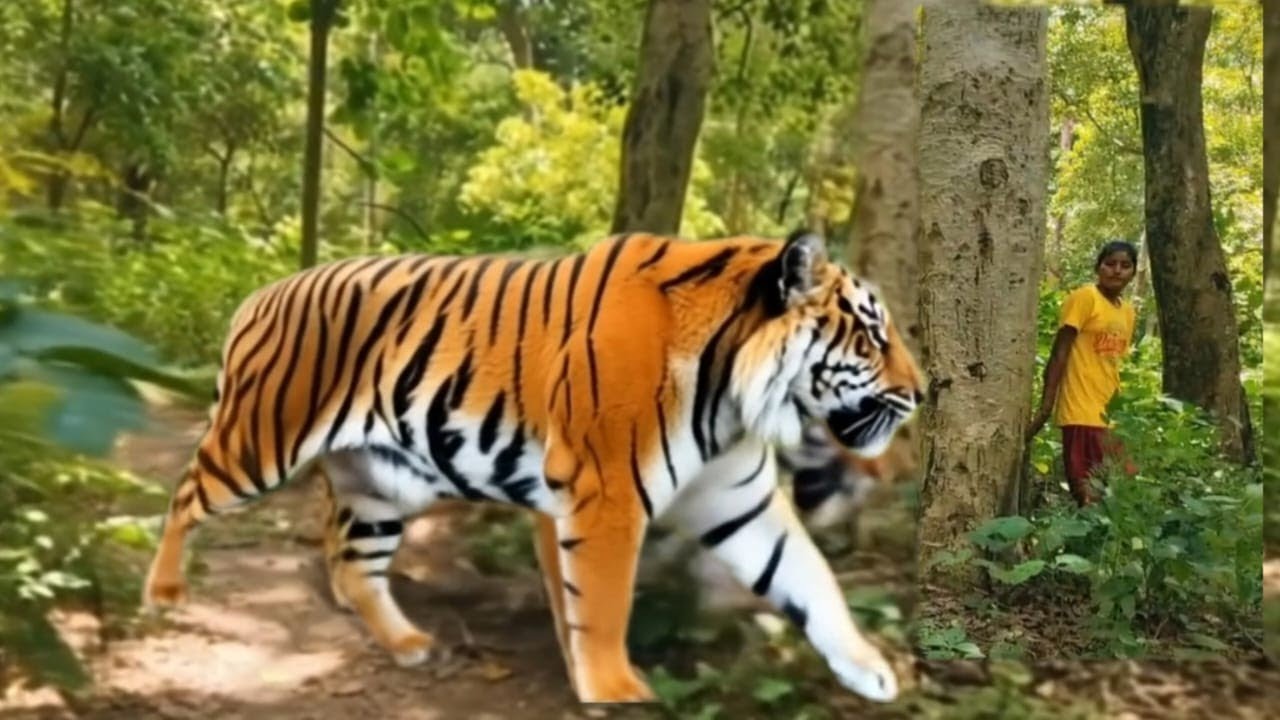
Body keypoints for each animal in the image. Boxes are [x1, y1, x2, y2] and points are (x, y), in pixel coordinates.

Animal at [141, 230, 925, 704]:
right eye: (872, 335)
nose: (921, 396)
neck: (731, 399)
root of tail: (260, 294)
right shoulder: (602, 496)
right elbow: (602, 601)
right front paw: (614, 691)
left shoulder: (738, 501)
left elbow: (810, 580)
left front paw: (872, 668)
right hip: (259, 445)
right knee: (185, 492)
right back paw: (165, 592)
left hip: (383, 483)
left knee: (353, 563)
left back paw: (407, 643)